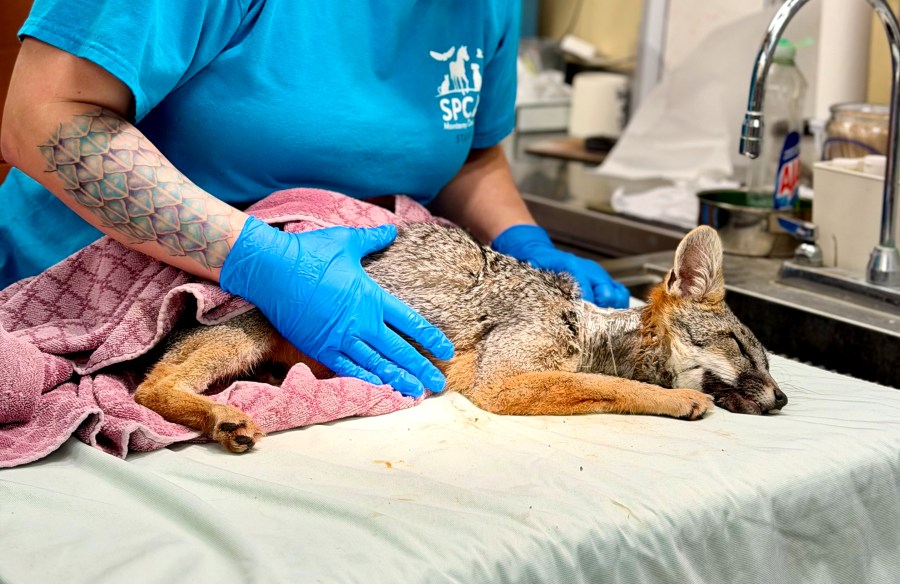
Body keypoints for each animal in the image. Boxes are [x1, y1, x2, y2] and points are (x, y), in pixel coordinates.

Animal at [134, 224, 787, 453]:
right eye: (742, 348)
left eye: (769, 362)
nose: (783, 399)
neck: (587, 326)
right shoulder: (501, 384)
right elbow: (614, 387)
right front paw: (679, 400)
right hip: (251, 331)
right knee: (146, 390)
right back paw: (222, 419)